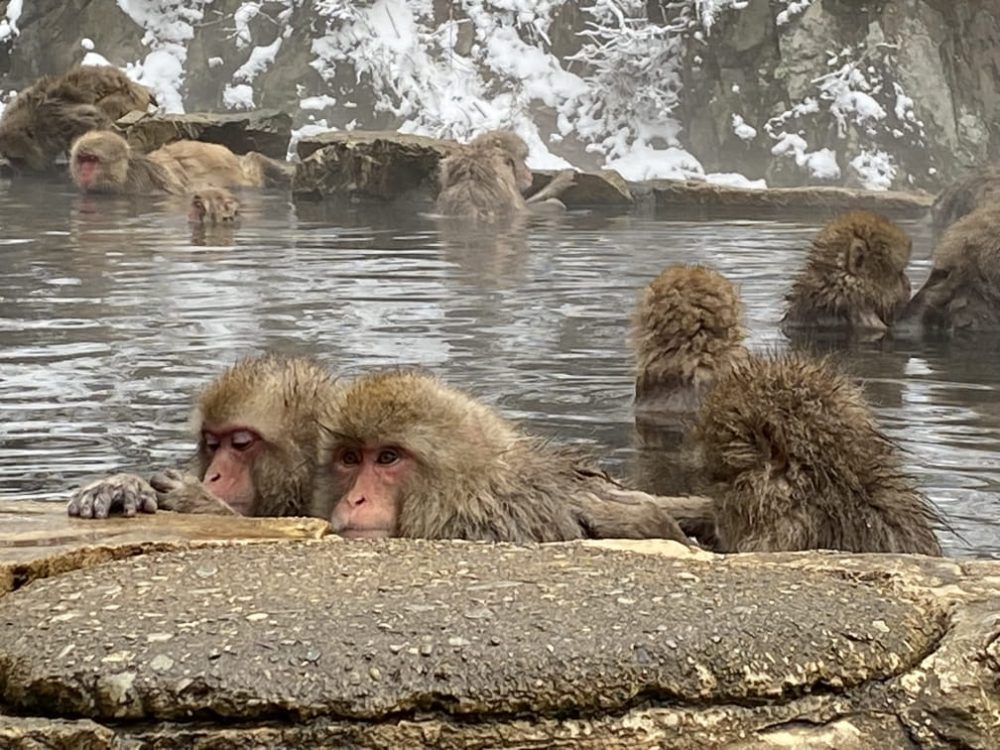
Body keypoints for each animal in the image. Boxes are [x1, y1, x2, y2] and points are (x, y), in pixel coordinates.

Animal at [0, 65, 155, 171]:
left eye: (17, 158)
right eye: (7, 155)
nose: (17, 170)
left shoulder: (58, 118)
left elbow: (93, 119)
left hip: (126, 99)